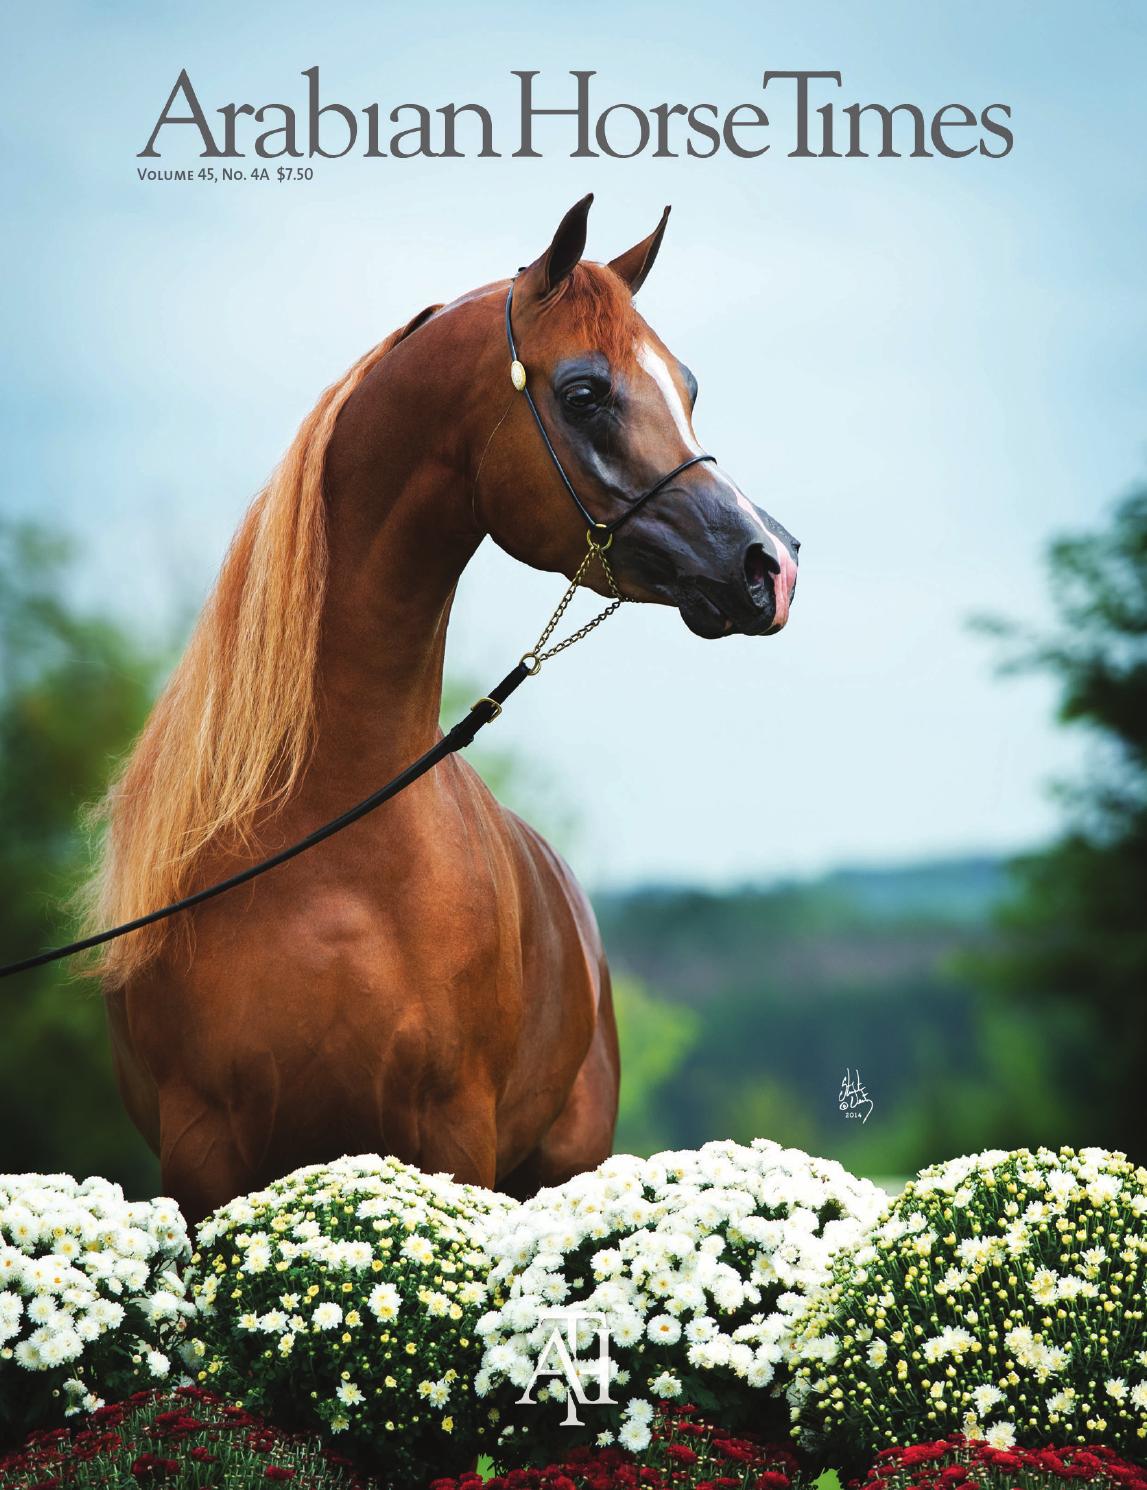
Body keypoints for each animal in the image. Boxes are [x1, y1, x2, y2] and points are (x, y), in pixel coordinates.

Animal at [88, 195, 800, 1224]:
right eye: (584, 393)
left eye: (688, 387)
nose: (769, 564)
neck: (326, 843)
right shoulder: (202, 1154)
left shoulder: (453, 1139)